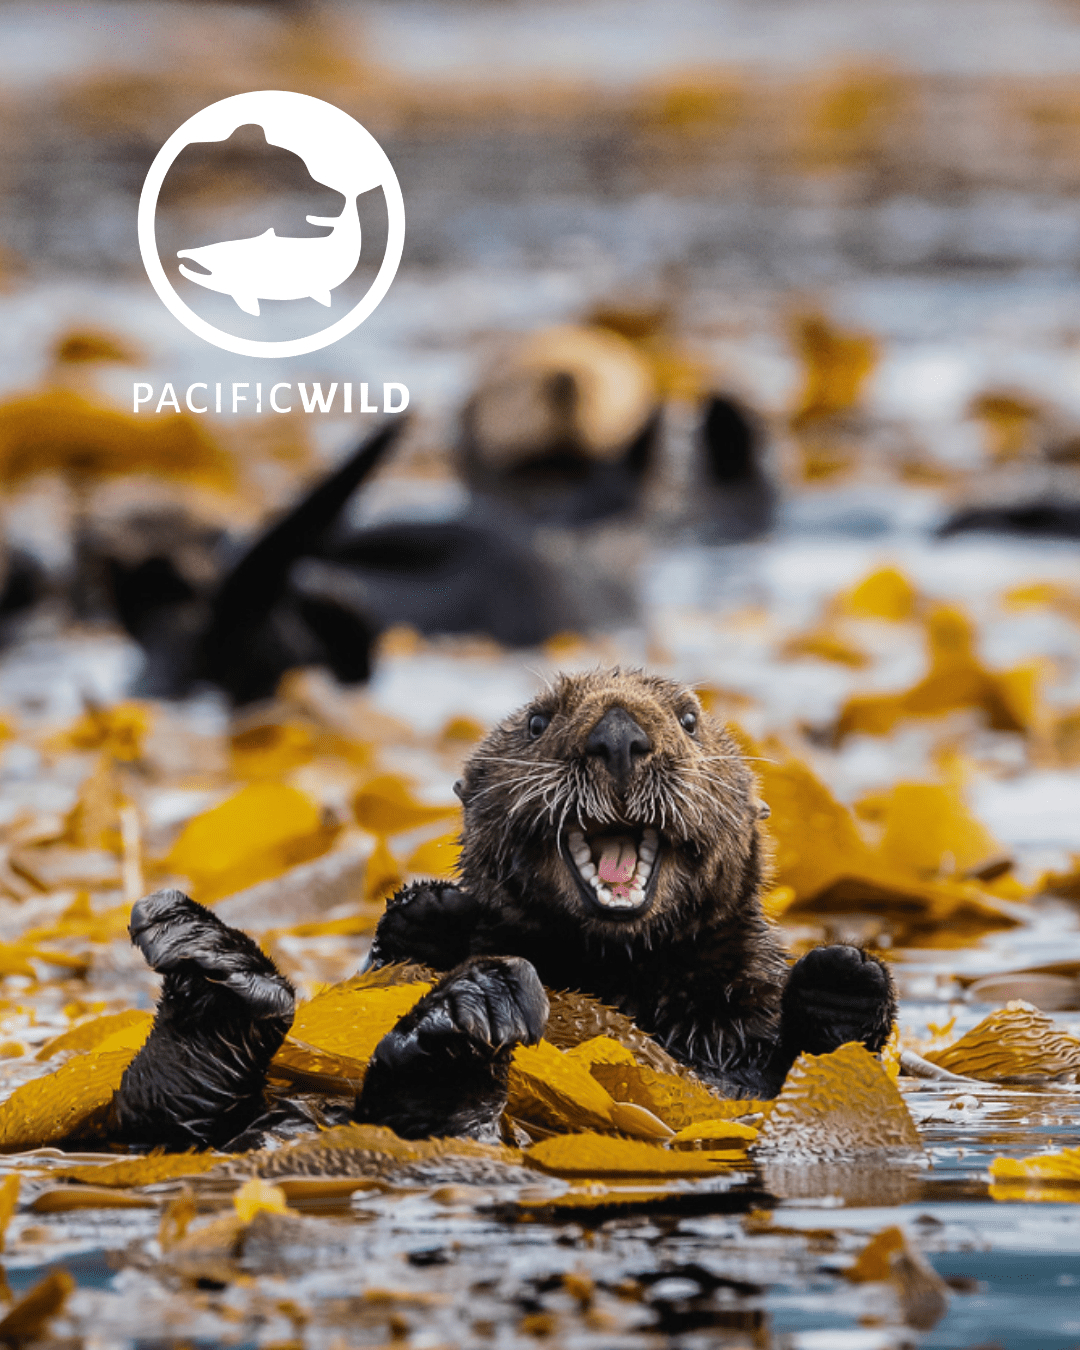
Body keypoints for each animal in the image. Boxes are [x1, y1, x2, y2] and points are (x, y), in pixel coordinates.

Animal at [109, 669, 895, 1150]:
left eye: (691, 719)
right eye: (540, 721)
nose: (618, 734)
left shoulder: (740, 1026)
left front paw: (843, 981)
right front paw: (430, 912)